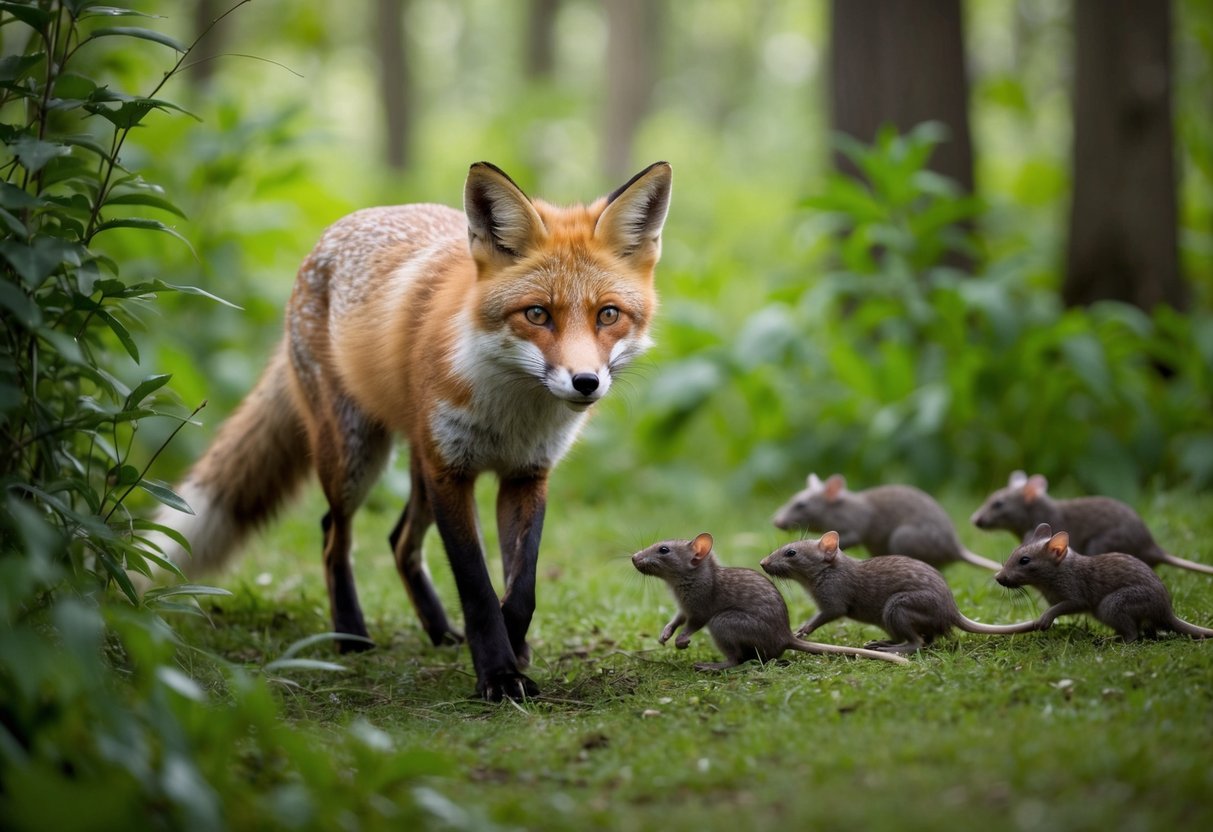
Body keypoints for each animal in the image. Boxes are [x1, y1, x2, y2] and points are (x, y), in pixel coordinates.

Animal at [149, 161, 673, 701]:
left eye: (607, 314)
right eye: (537, 314)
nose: (586, 382)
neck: (511, 414)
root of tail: (337, 231)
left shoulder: (526, 474)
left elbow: (520, 589)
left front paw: (514, 647)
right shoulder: (452, 473)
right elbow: (476, 586)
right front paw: (498, 673)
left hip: (418, 467)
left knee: (400, 542)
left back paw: (439, 630)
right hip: (357, 457)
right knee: (333, 533)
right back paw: (351, 635)